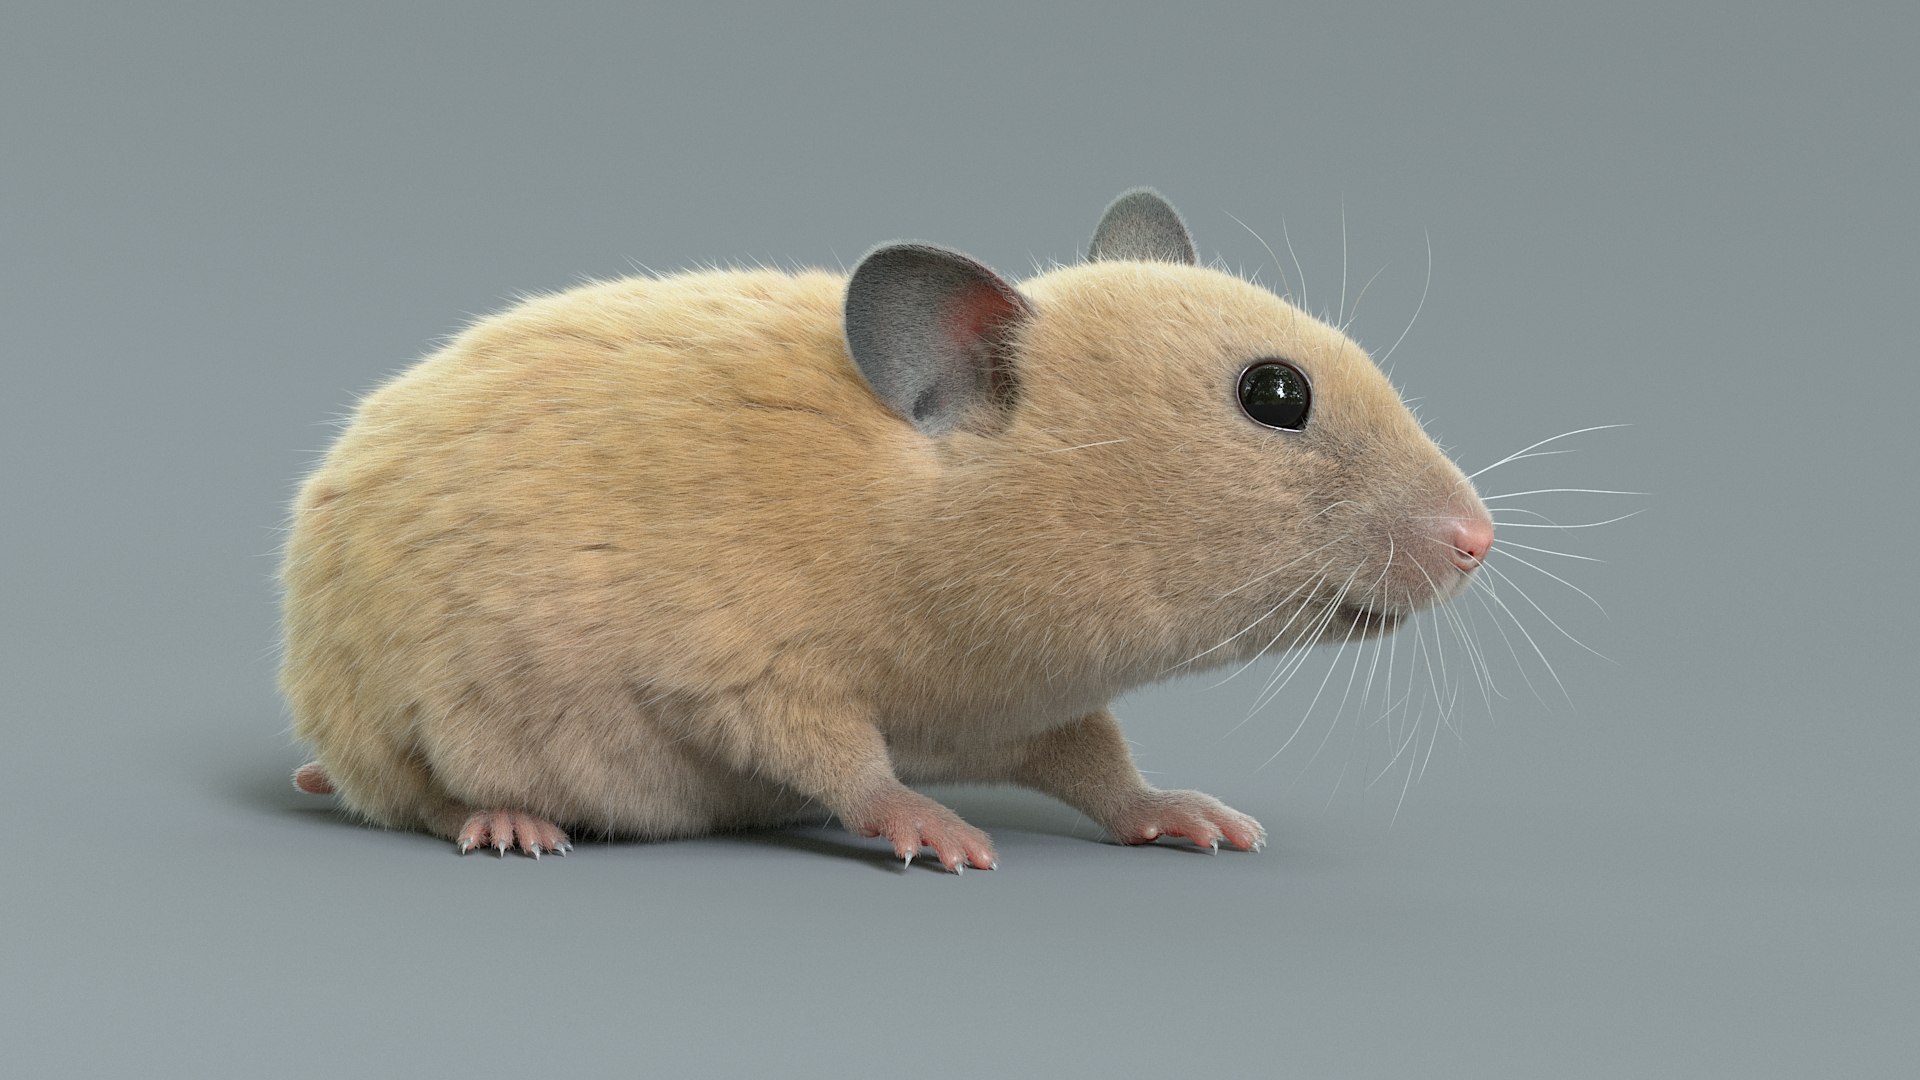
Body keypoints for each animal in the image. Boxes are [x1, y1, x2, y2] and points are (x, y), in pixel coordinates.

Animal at [278, 189, 1494, 870]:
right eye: (1275, 395)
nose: (1478, 540)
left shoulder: (1028, 708)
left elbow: (1098, 764)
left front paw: (1183, 813)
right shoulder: (746, 670)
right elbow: (831, 751)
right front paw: (931, 826)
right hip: (410, 720)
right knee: (420, 798)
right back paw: (506, 823)